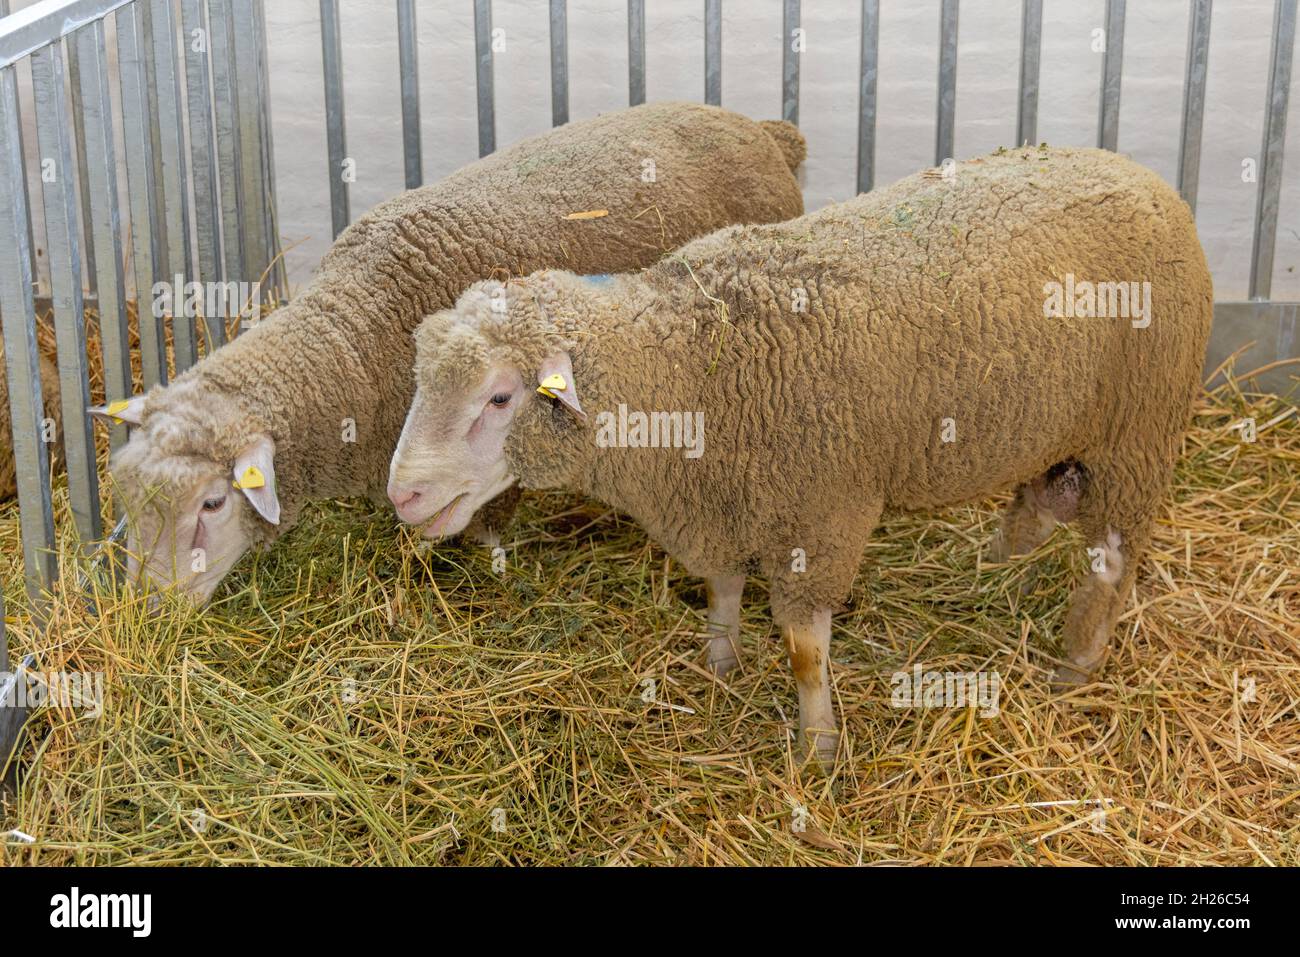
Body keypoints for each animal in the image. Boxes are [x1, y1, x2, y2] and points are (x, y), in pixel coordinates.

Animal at [85, 102, 806, 604]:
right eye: (126, 496)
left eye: (211, 505)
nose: (148, 608)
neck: (353, 331)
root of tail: (763, 131)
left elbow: (487, 514)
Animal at [387, 146, 1213, 766]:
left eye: (499, 398)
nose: (403, 498)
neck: (694, 363)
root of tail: (1147, 177)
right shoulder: (718, 497)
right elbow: (723, 588)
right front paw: (719, 662)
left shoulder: (821, 515)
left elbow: (806, 652)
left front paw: (818, 748)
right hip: (1059, 425)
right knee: (1040, 498)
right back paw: (996, 567)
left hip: (1141, 428)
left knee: (1112, 555)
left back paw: (1075, 664)